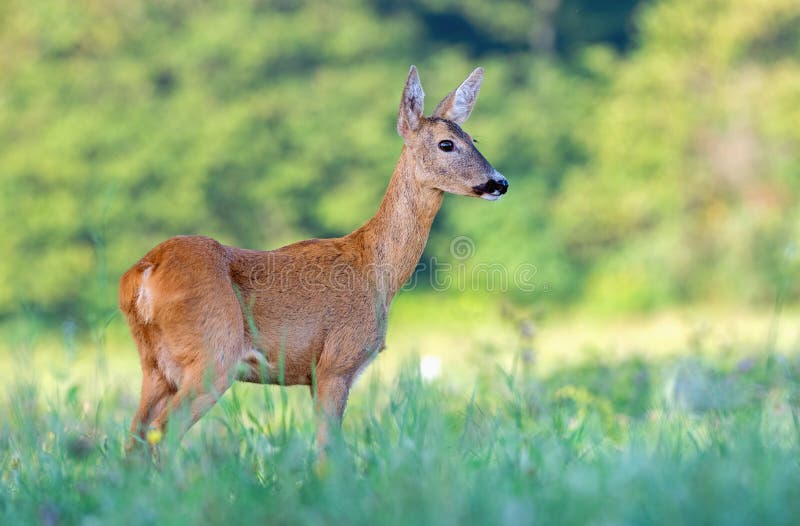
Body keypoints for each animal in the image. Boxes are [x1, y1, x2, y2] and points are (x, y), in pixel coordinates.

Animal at [119, 65, 509, 455]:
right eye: (446, 143)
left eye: (474, 138)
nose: (499, 182)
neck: (375, 268)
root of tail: (144, 272)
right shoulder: (336, 364)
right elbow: (328, 452)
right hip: (214, 356)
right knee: (161, 433)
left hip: (154, 365)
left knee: (134, 436)